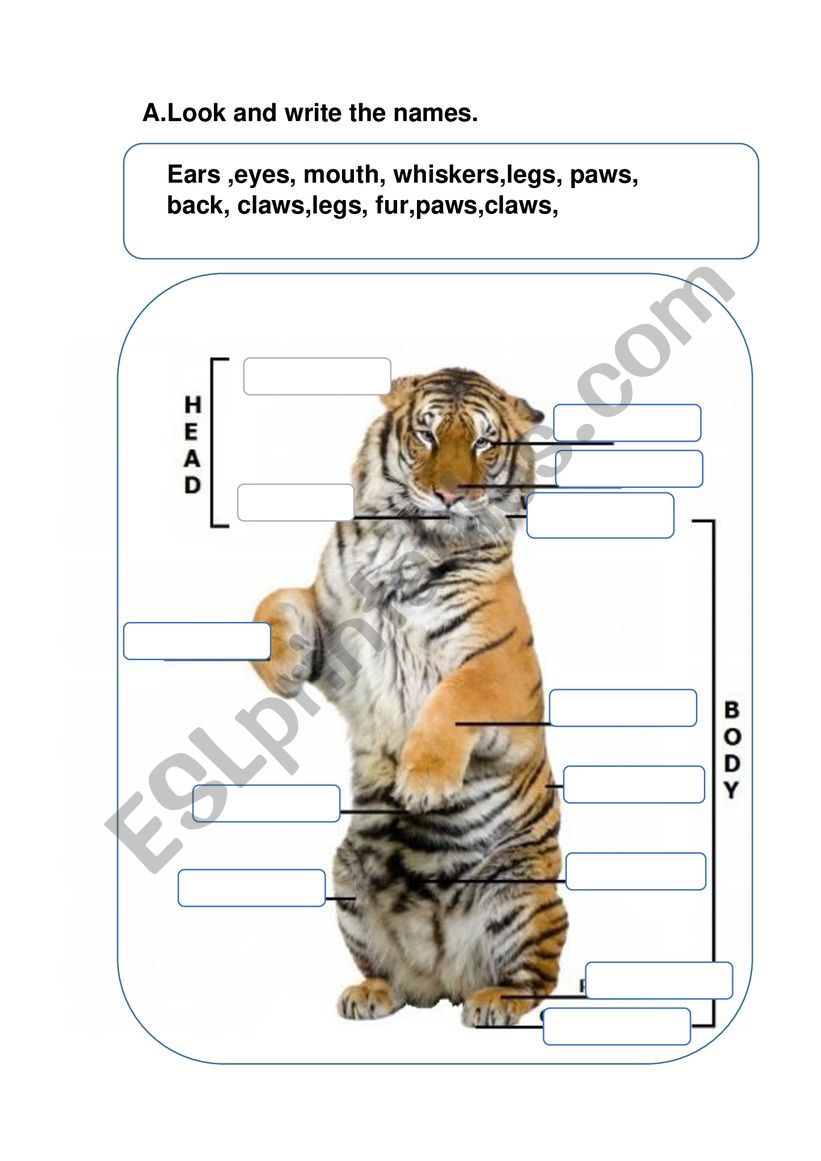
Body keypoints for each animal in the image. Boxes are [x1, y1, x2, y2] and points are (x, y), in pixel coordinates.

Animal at [252, 368, 567, 1027]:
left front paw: (421, 784)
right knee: (391, 975)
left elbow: (453, 697)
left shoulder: (501, 673)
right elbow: (278, 600)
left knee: (540, 979)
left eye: (484, 444)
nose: (449, 496)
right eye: (426, 434)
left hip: (523, 892)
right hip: (347, 874)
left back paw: (495, 1003)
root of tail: (445, 978)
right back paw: (370, 994)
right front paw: (282, 670)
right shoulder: (338, 637)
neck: (407, 544)